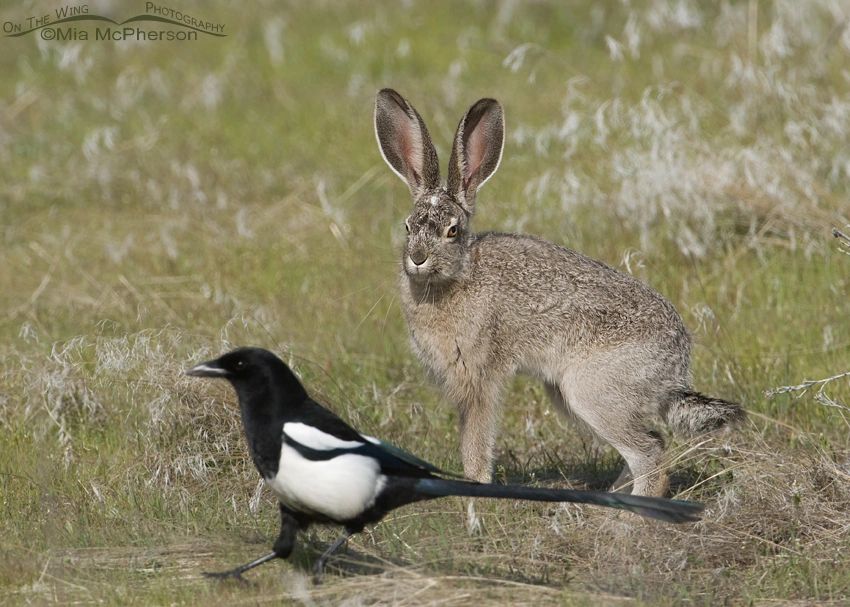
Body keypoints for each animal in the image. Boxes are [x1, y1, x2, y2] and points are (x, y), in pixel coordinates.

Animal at [374, 88, 743, 497]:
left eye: (452, 231)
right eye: (408, 227)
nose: (417, 259)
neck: (458, 276)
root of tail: (678, 365)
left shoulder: (481, 379)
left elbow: (476, 443)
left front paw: (475, 489)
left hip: (591, 392)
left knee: (651, 453)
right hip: (570, 394)